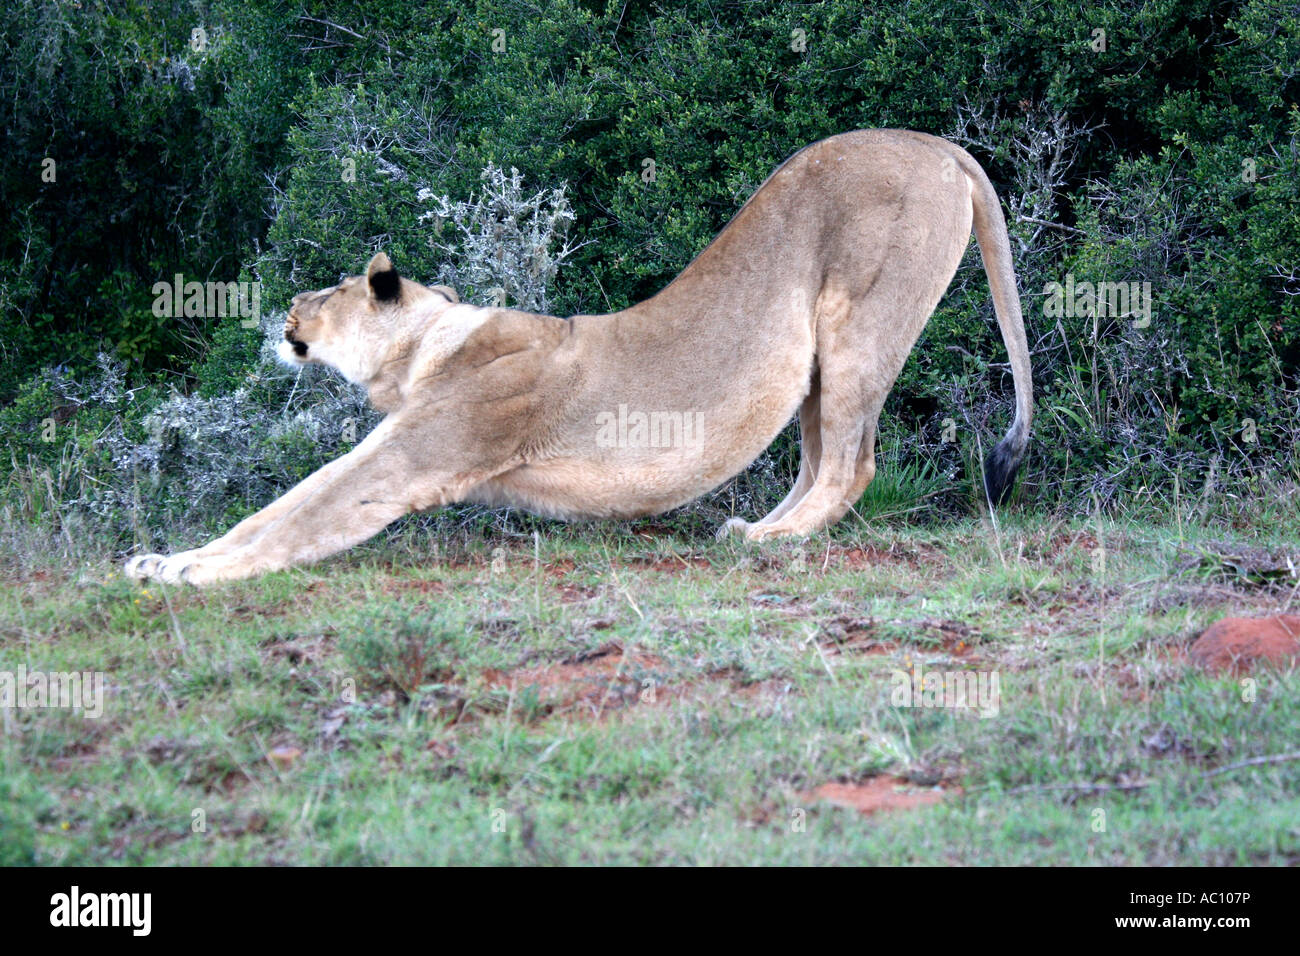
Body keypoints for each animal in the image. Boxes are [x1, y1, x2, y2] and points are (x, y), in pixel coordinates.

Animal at [126, 129, 1032, 585]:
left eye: (331, 287)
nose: (286, 310)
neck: (430, 345)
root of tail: (936, 142)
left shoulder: (416, 456)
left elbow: (302, 511)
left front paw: (184, 571)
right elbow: (280, 508)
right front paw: (163, 558)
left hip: (859, 320)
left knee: (850, 464)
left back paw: (770, 542)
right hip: (814, 361)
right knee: (816, 462)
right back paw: (759, 525)